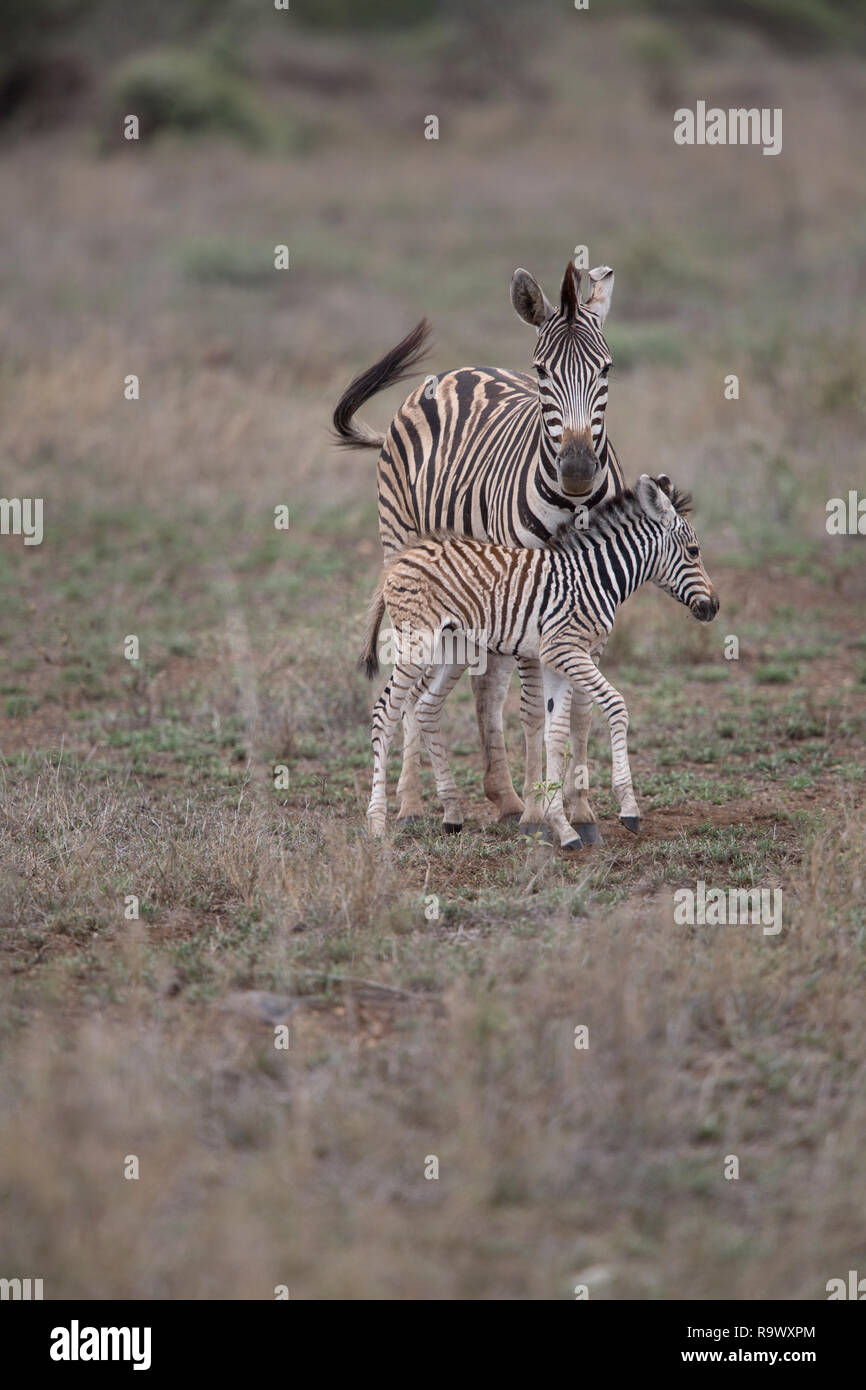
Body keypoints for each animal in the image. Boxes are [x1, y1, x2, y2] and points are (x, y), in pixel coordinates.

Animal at [332, 262, 622, 834]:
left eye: (605, 370)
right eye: (541, 372)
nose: (578, 471)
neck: (575, 507)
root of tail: (456, 372)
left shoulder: (584, 600)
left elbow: (578, 704)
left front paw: (578, 808)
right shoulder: (541, 594)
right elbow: (535, 709)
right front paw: (539, 811)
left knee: (483, 684)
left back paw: (501, 796)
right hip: (405, 550)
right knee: (415, 686)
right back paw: (412, 802)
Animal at [358, 478, 717, 845]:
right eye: (693, 552)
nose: (713, 607)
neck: (596, 578)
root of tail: (402, 557)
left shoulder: (556, 660)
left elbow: (556, 733)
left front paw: (562, 826)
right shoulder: (567, 650)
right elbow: (615, 705)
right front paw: (627, 808)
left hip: (454, 648)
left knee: (426, 707)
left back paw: (452, 814)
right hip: (417, 643)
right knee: (385, 712)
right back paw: (376, 824)